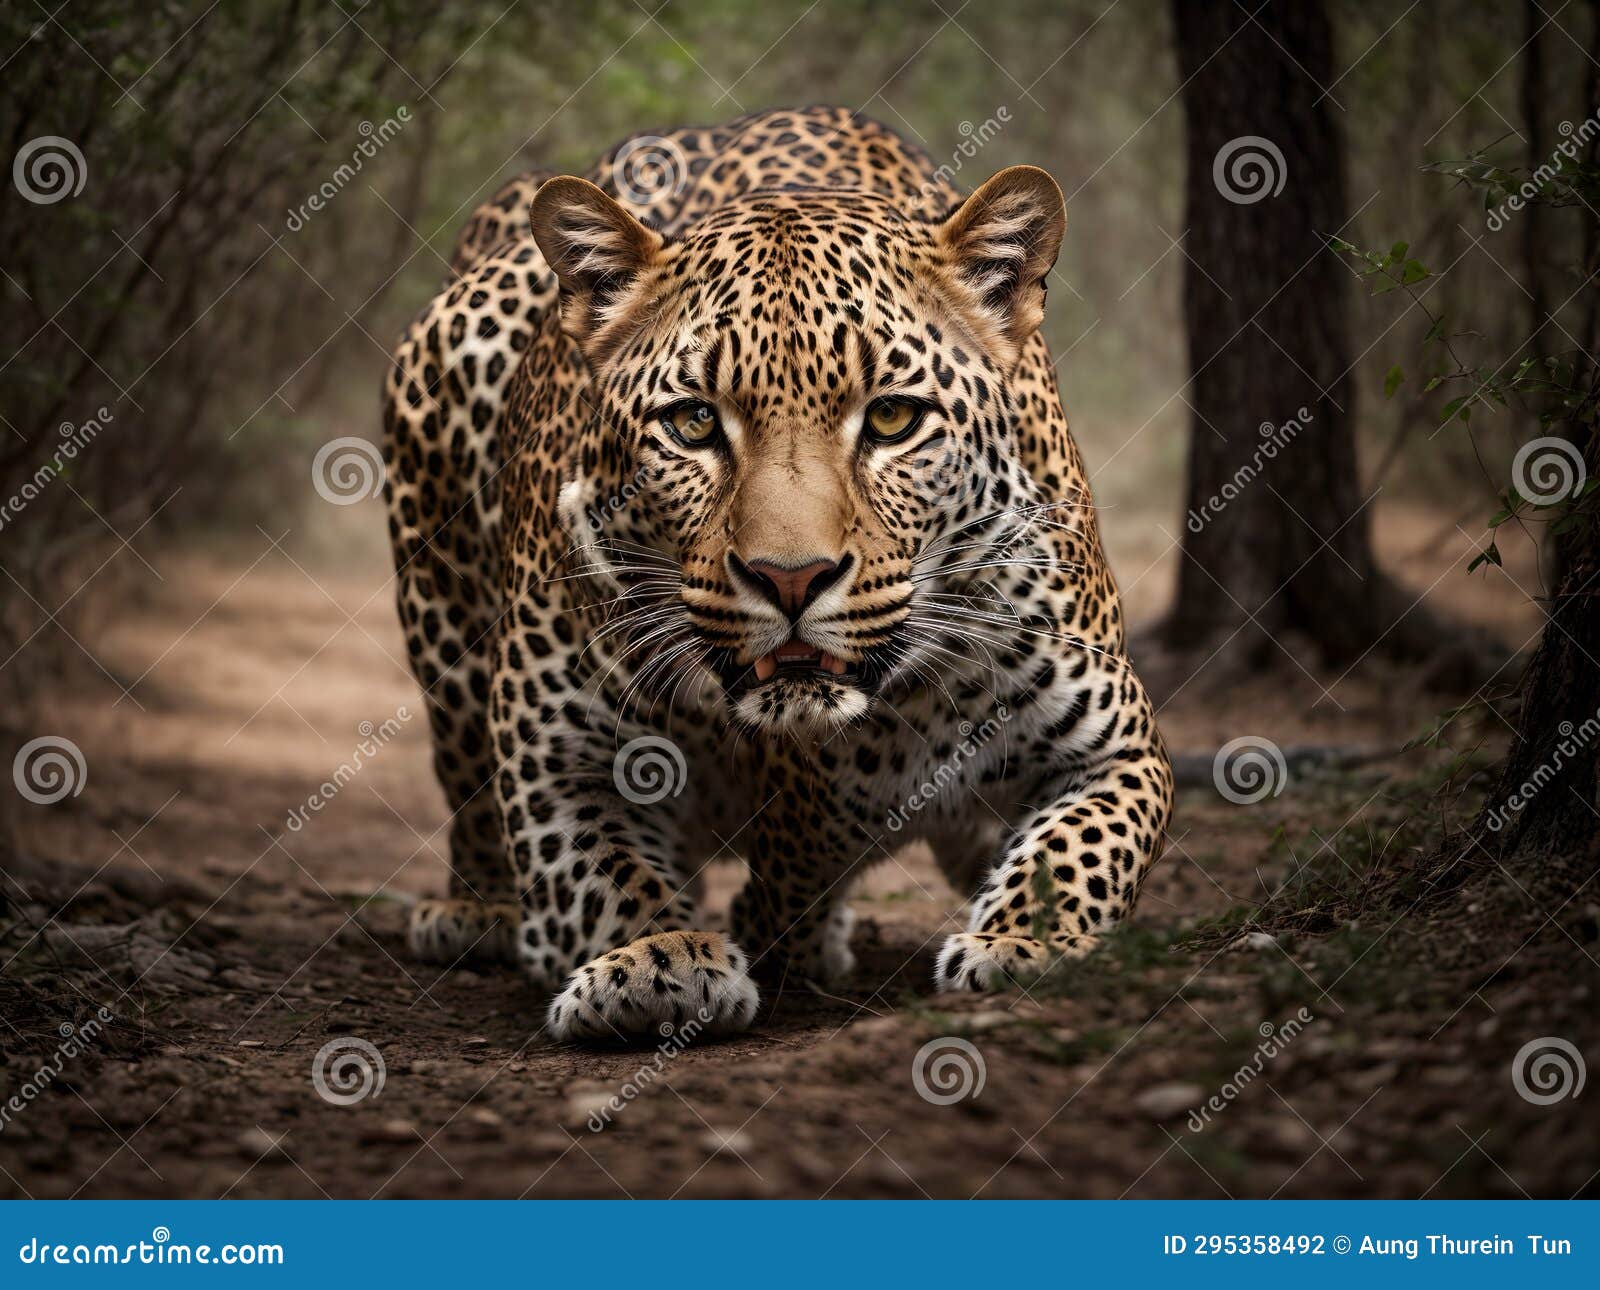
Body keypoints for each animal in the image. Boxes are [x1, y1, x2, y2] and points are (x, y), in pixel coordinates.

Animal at [381, 106, 1174, 1043]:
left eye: (893, 418)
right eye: (692, 423)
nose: (791, 579)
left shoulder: (1114, 741)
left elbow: (1079, 849)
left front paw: (1026, 942)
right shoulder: (558, 760)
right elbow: (602, 880)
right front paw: (656, 962)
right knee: (464, 768)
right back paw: (481, 912)